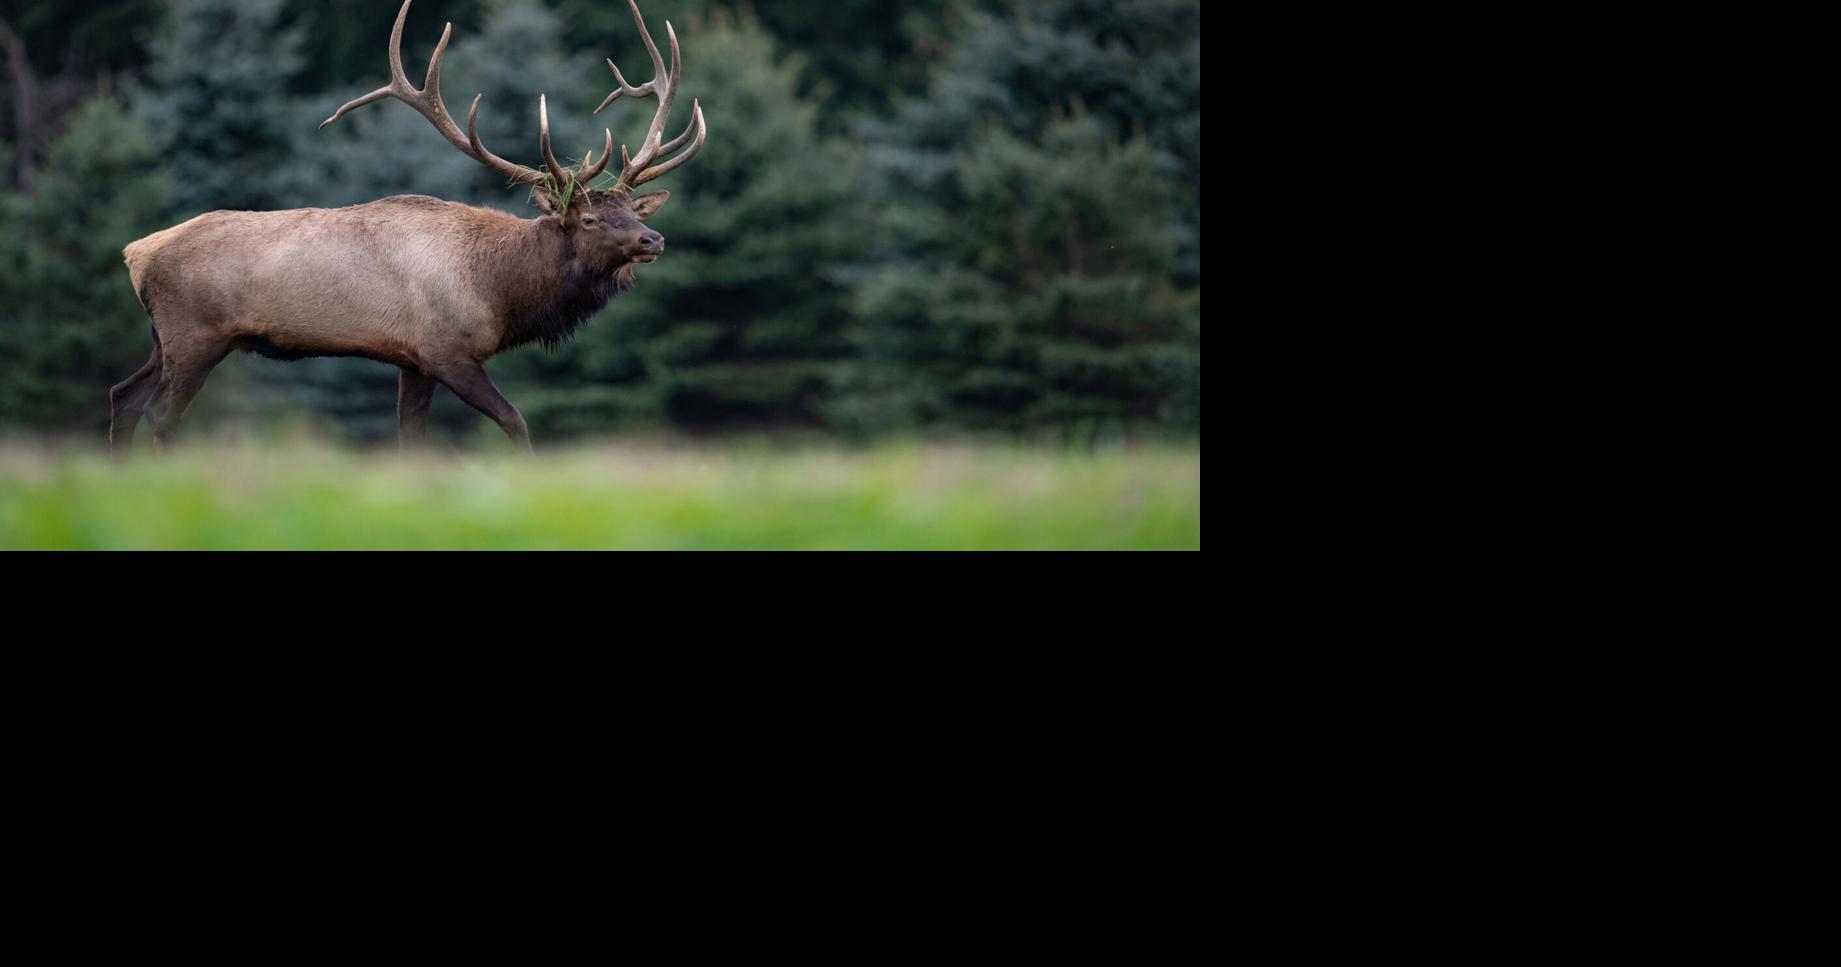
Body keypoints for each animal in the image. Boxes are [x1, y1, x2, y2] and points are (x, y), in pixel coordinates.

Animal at [111, 0, 706, 453]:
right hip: (196, 335)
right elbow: (515, 420)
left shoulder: (411, 359)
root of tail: (136, 252)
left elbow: (411, 440)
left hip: (166, 339)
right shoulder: (446, 349)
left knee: (123, 396)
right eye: (588, 218)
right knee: (160, 415)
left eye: (632, 211)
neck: (499, 289)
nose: (652, 239)